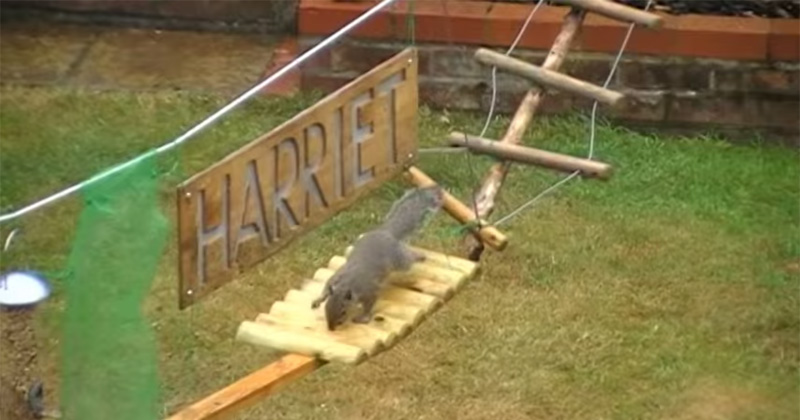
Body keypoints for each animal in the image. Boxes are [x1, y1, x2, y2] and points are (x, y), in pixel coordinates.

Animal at [311, 185, 445, 331]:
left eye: (343, 311)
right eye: (327, 307)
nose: (331, 328)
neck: (347, 284)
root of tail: (385, 232)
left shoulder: (370, 291)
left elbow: (369, 305)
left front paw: (363, 318)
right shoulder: (335, 278)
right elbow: (326, 287)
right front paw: (319, 299)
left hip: (400, 260)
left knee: (408, 259)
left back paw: (418, 256)